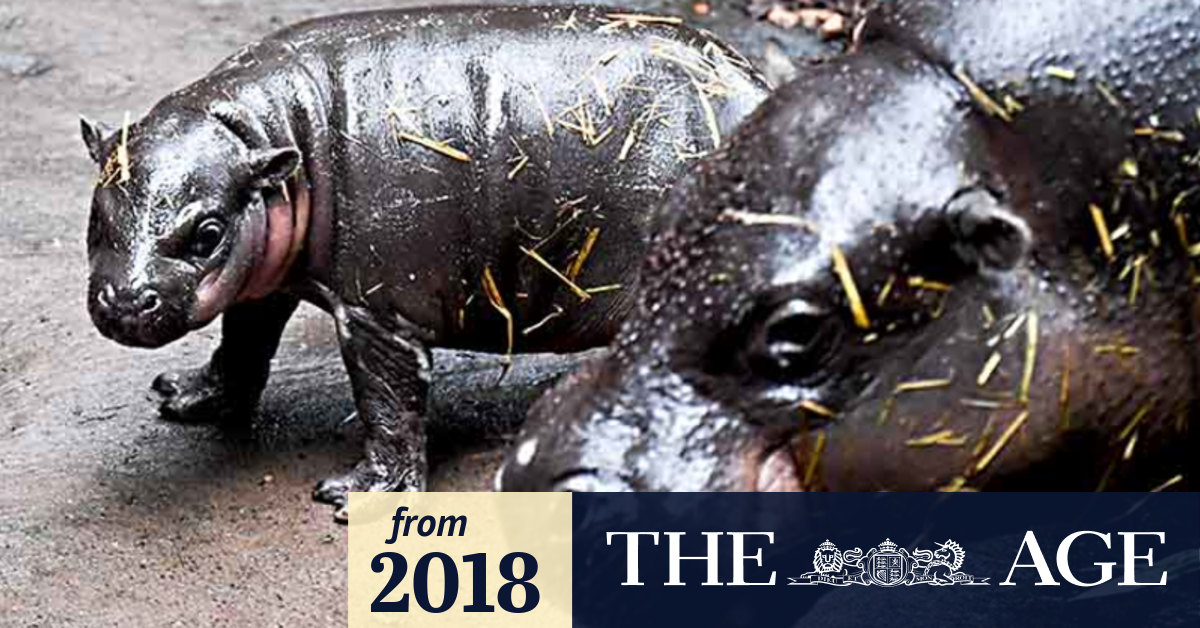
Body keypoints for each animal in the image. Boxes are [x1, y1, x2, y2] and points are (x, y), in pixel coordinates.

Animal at [81, 4, 769, 515]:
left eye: (207, 232)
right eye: (95, 213)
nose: (124, 301)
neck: (267, 133)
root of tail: (757, 88)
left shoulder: (377, 311)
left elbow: (388, 399)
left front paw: (353, 496)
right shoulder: (263, 280)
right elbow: (243, 341)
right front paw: (183, 396)